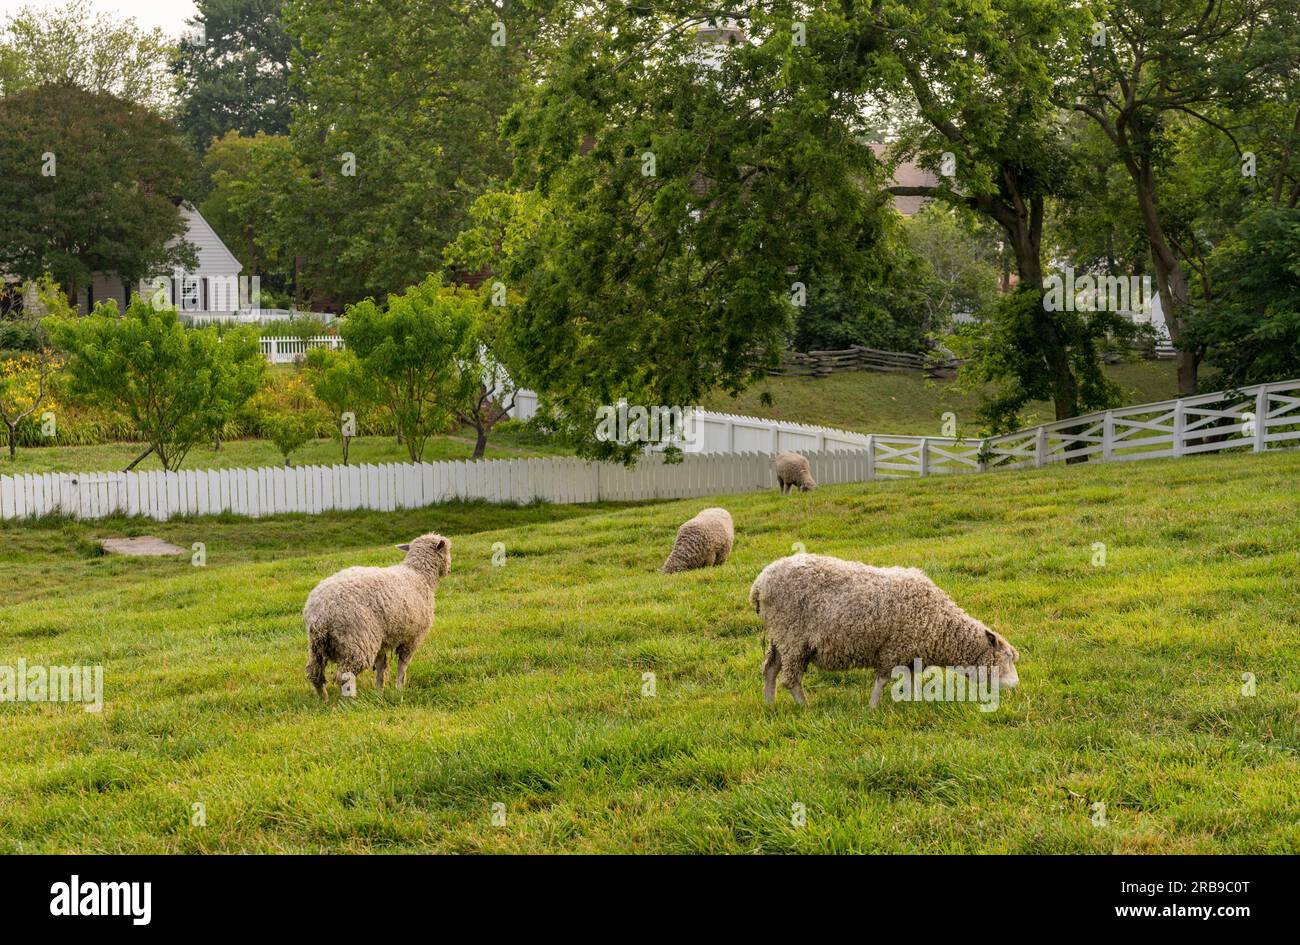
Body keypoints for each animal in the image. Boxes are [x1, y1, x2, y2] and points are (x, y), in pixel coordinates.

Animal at [304, 533, 451, 700]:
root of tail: (320, 612)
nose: (449, 569)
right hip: (358, 640)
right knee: (344, 675)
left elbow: (381, 666)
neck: (419, 575)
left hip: (317, 646)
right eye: (447, 550)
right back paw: (350, 700)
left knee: (314, 673)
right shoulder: (412, 637)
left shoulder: (382, 640)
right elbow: (402, 666)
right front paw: (399, 689)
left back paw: (324, 699)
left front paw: (379, 692)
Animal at [749, 553, 1019, 707]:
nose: (1015, 686)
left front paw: (914, 702)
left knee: (770, 669)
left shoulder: (911, 654)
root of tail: (759, 584)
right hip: (792, 636)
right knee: (791, 678)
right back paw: (804, 706)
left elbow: (911, 681)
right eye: (1005, 658)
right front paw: (873, 706)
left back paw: (769, 703)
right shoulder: (892, 649)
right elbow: (882, 680)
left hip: (779, 637)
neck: (938, 622)